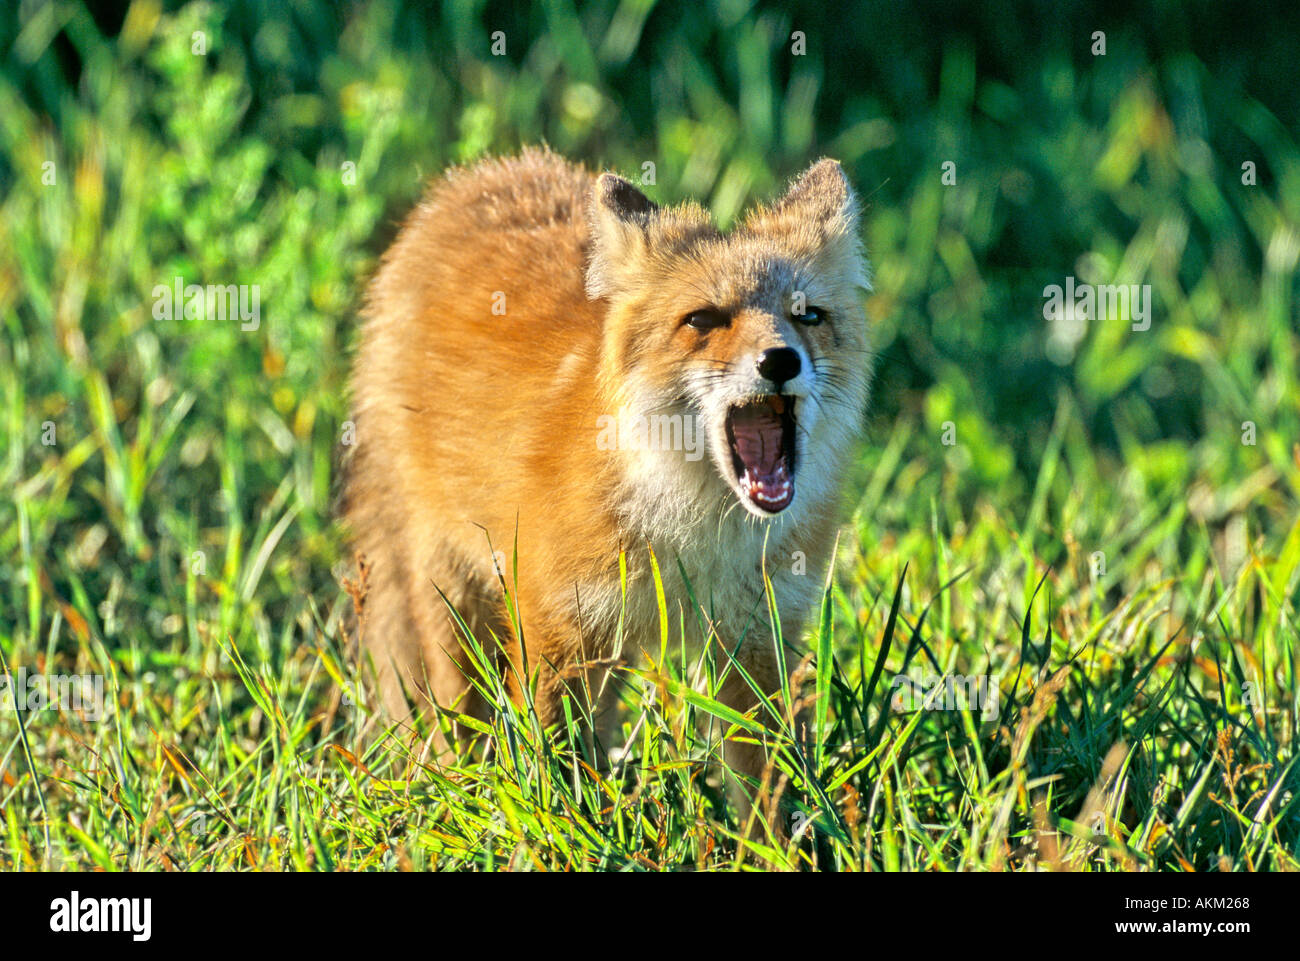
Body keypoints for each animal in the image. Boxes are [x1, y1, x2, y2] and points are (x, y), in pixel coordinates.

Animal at [343, 147, 872, 826]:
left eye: (807, 315)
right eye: (704, 319)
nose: (780, 360)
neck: (693, 535)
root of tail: (487, 171)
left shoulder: (755, 640)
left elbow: (764, 788)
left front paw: (774, 845)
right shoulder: (556, 626)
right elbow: (554, 767)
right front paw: (559, 832)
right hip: (451, 592)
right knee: (457, 716)